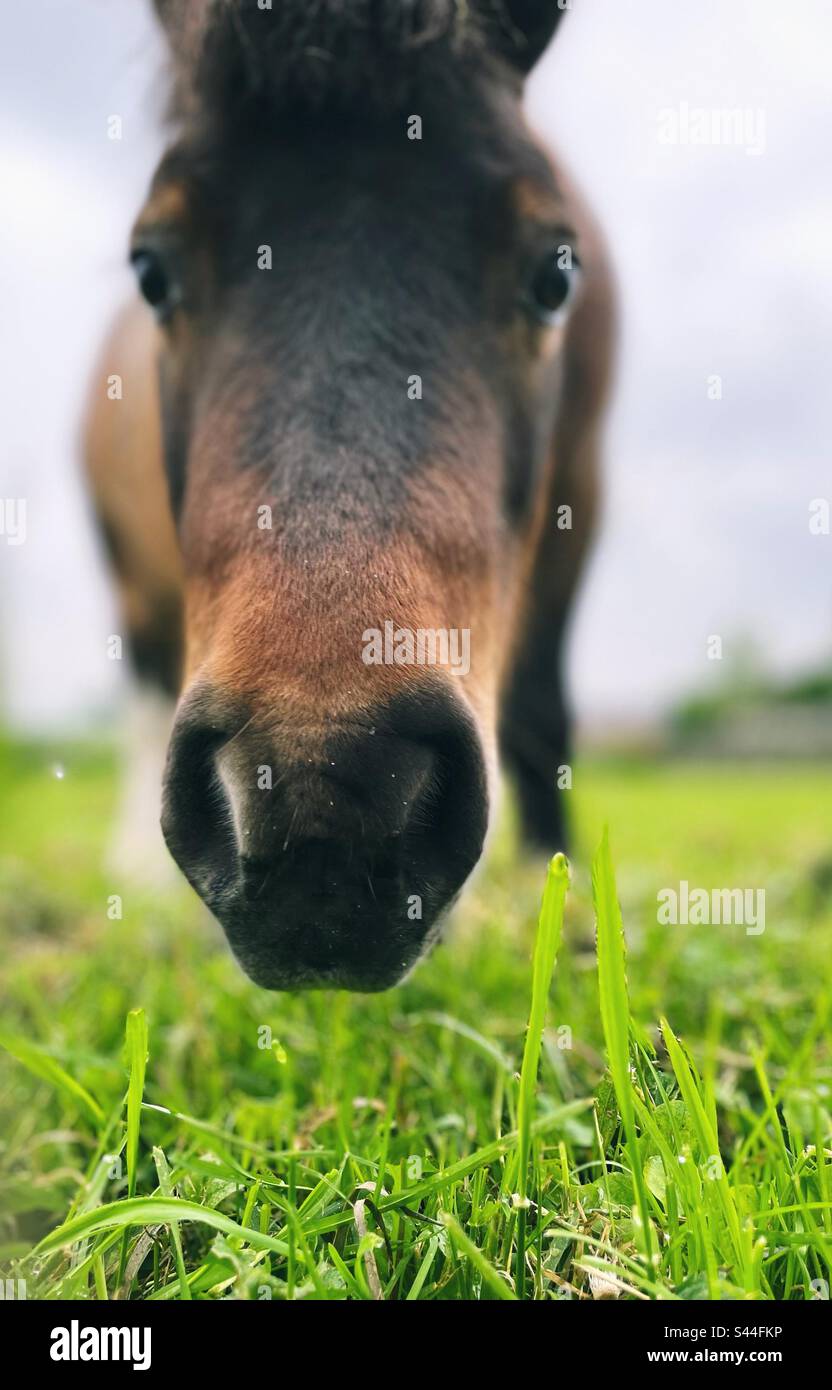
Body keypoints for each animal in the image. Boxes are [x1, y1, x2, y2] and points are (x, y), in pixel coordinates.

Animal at [84, 0, 614, 992]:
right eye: (151, 272)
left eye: (556, 274)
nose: (321, 794)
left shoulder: (579, 504)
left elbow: (541, 713)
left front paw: (549, 904)